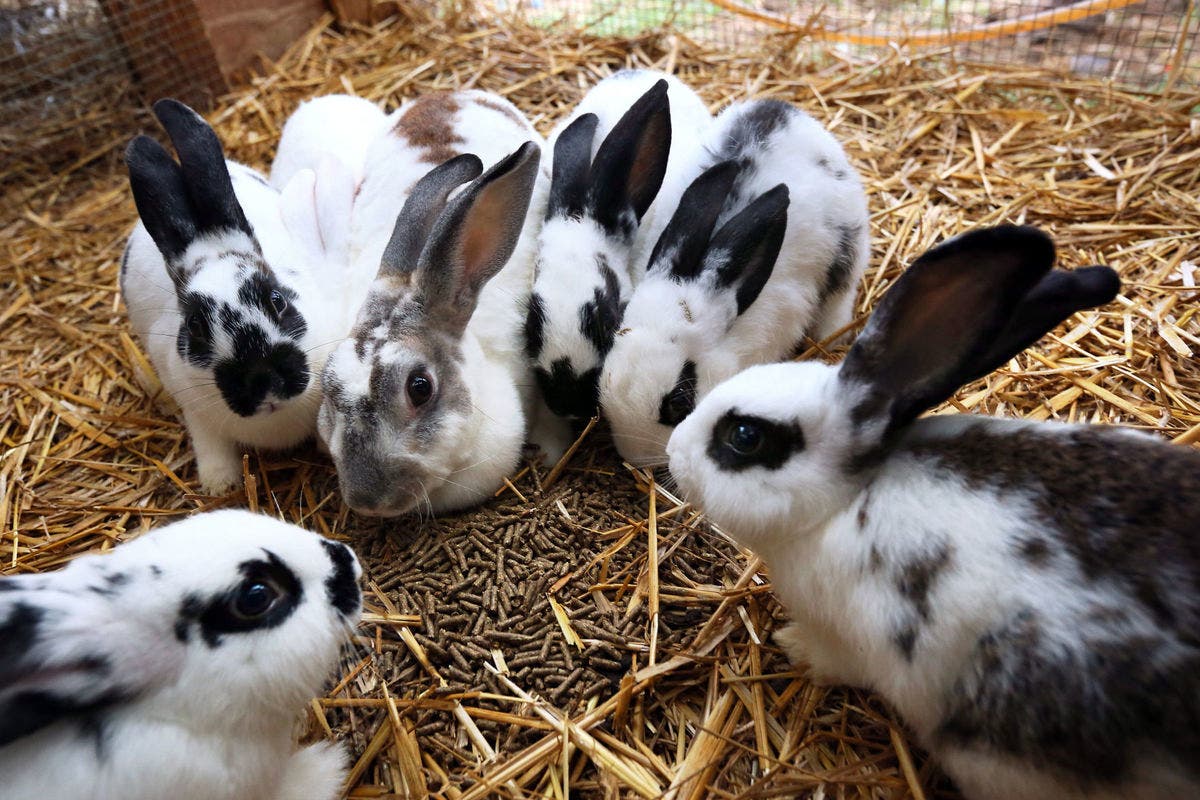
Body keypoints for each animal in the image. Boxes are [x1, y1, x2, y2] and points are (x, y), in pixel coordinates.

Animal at [122, 99, 365, 495]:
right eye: (195, 325)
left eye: (277, 300)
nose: (264, 379)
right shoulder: (192, 407)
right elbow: (211, 445)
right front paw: (220, 486)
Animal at [665, 224, 1200, 799]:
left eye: (745, 436)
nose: (672, 452)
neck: (851, 497)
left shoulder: (852, 640)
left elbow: (833, 660)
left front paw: (792, 645)